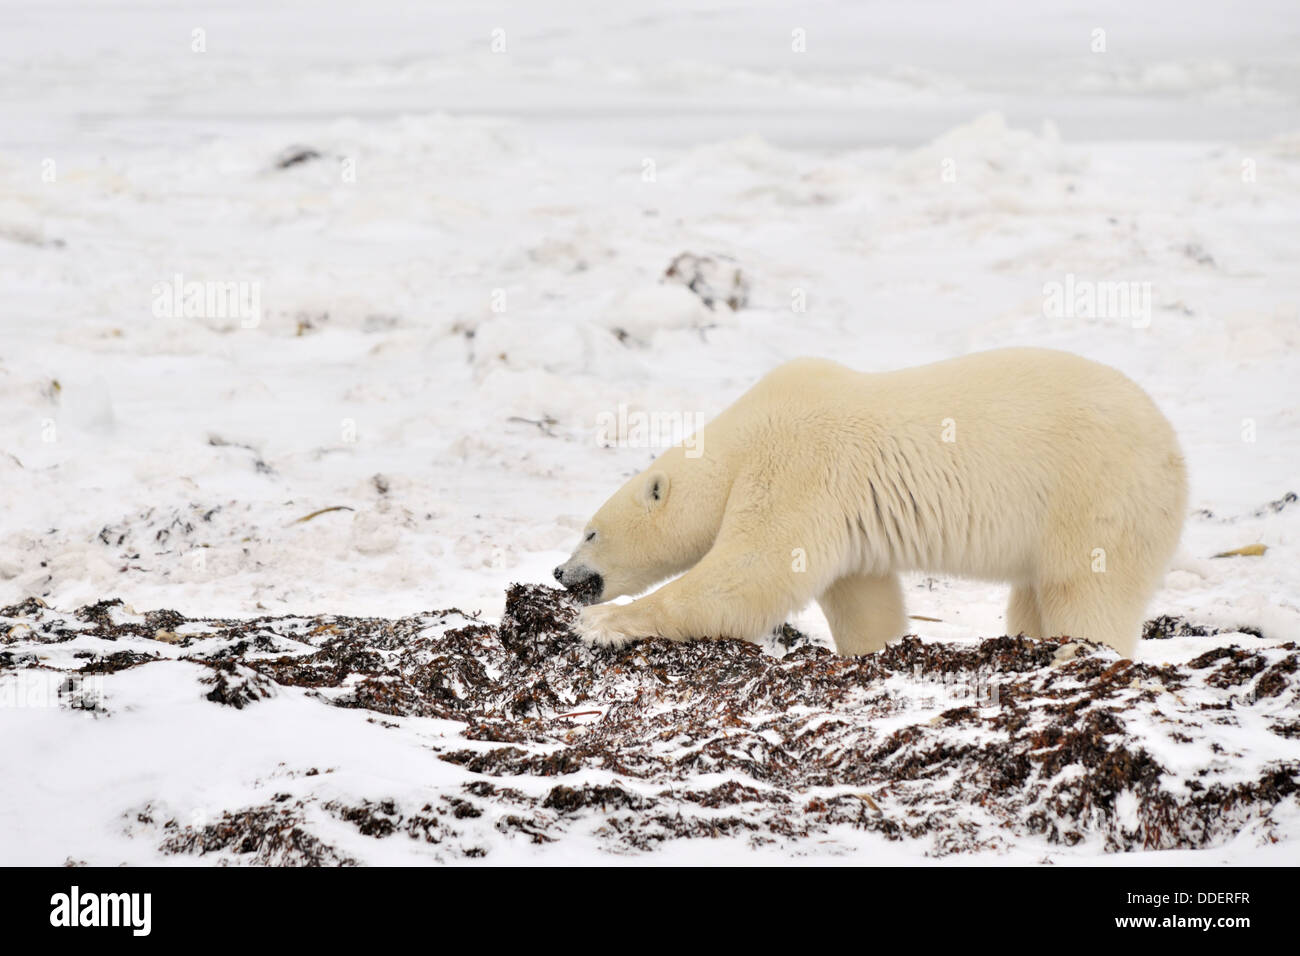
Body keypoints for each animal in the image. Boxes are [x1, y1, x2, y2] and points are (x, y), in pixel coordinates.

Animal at [555, 348, 1188, 658]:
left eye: (590, 532)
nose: (562, 573)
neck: (743, 438)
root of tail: (1172, 451)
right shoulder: (843, 510)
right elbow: (862, 595)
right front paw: (871, 654)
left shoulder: (798, 464)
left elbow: (752, 571)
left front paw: (603, 623)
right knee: (1033, 596)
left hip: (1095, 496)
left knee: (1085, 591)